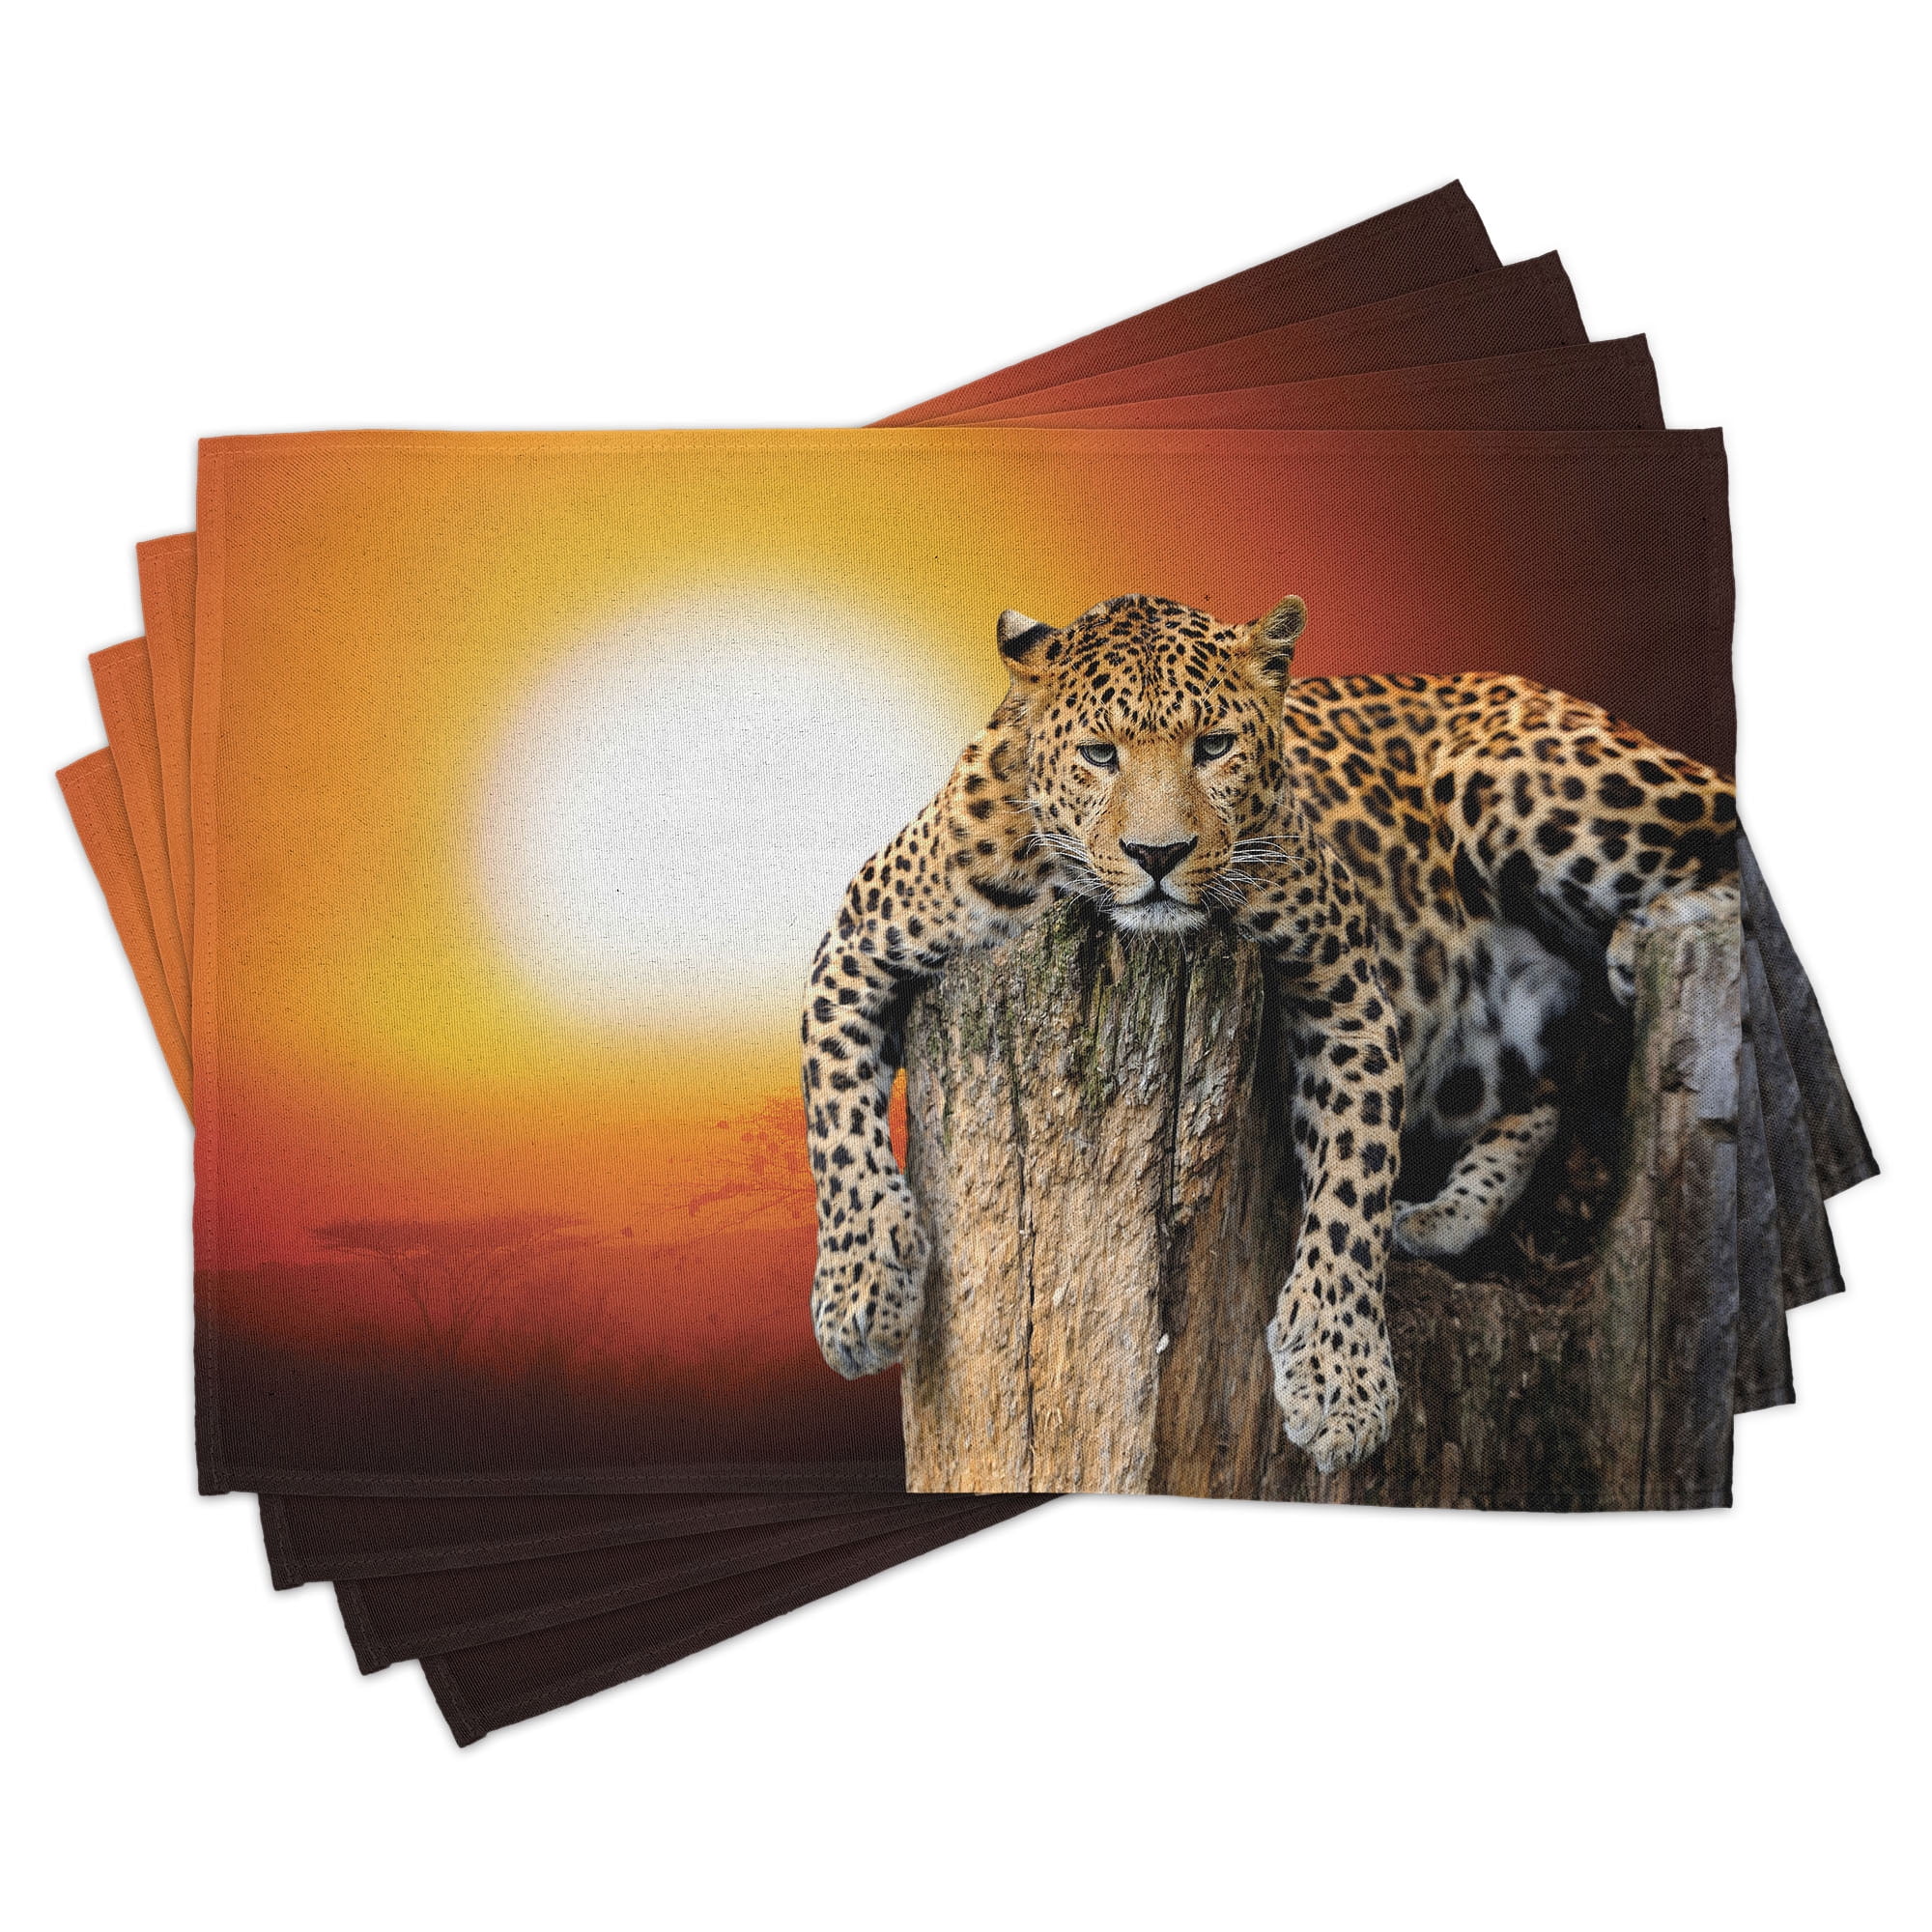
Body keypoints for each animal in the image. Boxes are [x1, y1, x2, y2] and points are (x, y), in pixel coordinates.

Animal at [799, 593, 1737, 1476]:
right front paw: (861, 1293)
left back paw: (1657, 932)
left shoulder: (1345, 981)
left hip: (1517, 777)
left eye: (1214, 746)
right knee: (1541, 1095)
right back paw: (1442, 1213)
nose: (1158, 855)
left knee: (1728, 836)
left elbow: (1354, 1175)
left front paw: (1340, 1377)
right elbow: (835, 1122)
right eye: (1100, 754)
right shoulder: (855, 942)